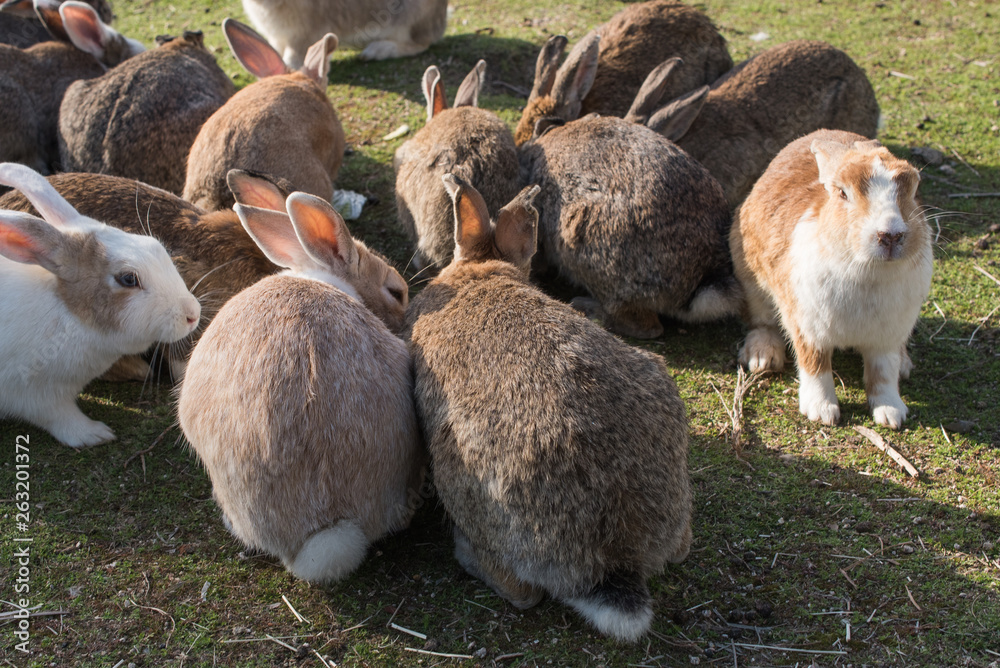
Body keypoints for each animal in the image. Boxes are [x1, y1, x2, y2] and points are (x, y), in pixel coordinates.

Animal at [0, 163, 200, 447]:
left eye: (156, 246)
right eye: (128, 279)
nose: (192, 315)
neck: (69, 317)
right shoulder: (31, 392)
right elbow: (60, 417)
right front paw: (94, 434)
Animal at [241, 0, 447, 68]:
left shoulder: (303, 35)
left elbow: (293, 57)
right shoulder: (277, 37)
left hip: (408, 19)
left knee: (420, 44)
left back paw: (375, 51)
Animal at [404, 174, 692, 642]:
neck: (479, 278)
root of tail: (617, 557)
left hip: (466, 479)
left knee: (523, 593)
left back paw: (468, 557)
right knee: (681, 550)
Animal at [730, 130, 933, 429]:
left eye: (914, 189)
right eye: (842, 193)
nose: (891, 235)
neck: (869, 270)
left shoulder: (886, 336)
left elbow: (883, 373)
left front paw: (891, 414)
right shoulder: (808, 327)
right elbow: (815, 366)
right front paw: (822, 411)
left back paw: (905, 365)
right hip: (751, 280)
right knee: (761, 322)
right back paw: (763, 357)